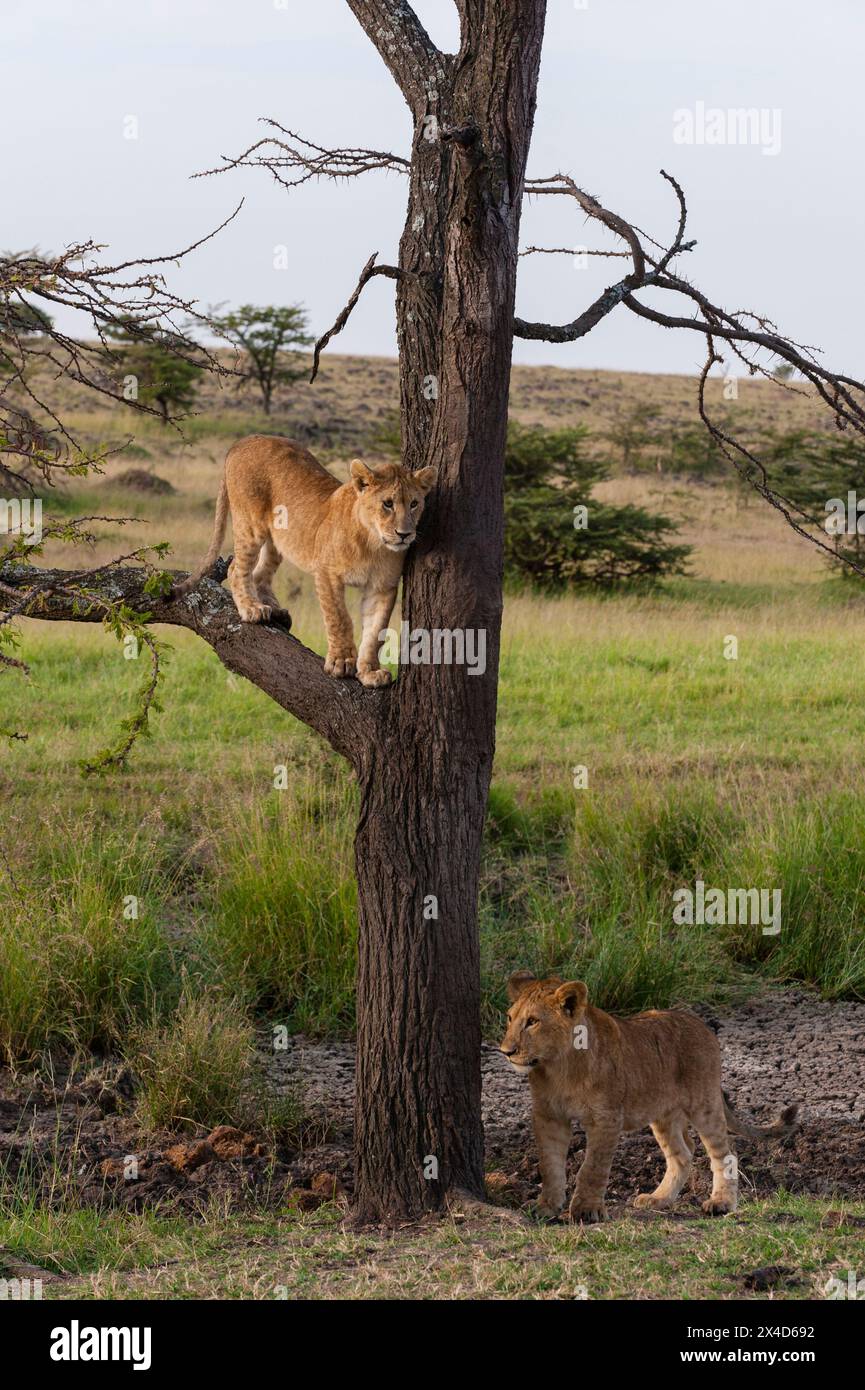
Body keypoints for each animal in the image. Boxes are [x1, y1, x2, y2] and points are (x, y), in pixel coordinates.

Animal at [175, 435, 435, 687]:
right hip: (250, 524)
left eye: (414, 503)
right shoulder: (327, 574)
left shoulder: (382, 587)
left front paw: (370, 673)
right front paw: (341, 662)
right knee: (236, 568)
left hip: (279, 539)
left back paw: (276, 611)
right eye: (387, 503)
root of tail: (245, 439)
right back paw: (251, 608)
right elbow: (339, 618)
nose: (404, 534)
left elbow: (375, 632)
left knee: (260, 573)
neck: (374, 544)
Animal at [500, 971, 798, 1223]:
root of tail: (702, 1025)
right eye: (510, 1018)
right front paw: (546, 1207)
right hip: (663, 1113)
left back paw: (721, 1203)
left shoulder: (606, 1118)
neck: (559, 1067)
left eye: (533, 1022)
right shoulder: (549, 1116)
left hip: (704, 1103)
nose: (506, 1051)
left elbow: (592, 1167)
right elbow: (549, 1165)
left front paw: (586, 1211)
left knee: (725, 1152)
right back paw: (659, 1199)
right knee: (682, 1154)